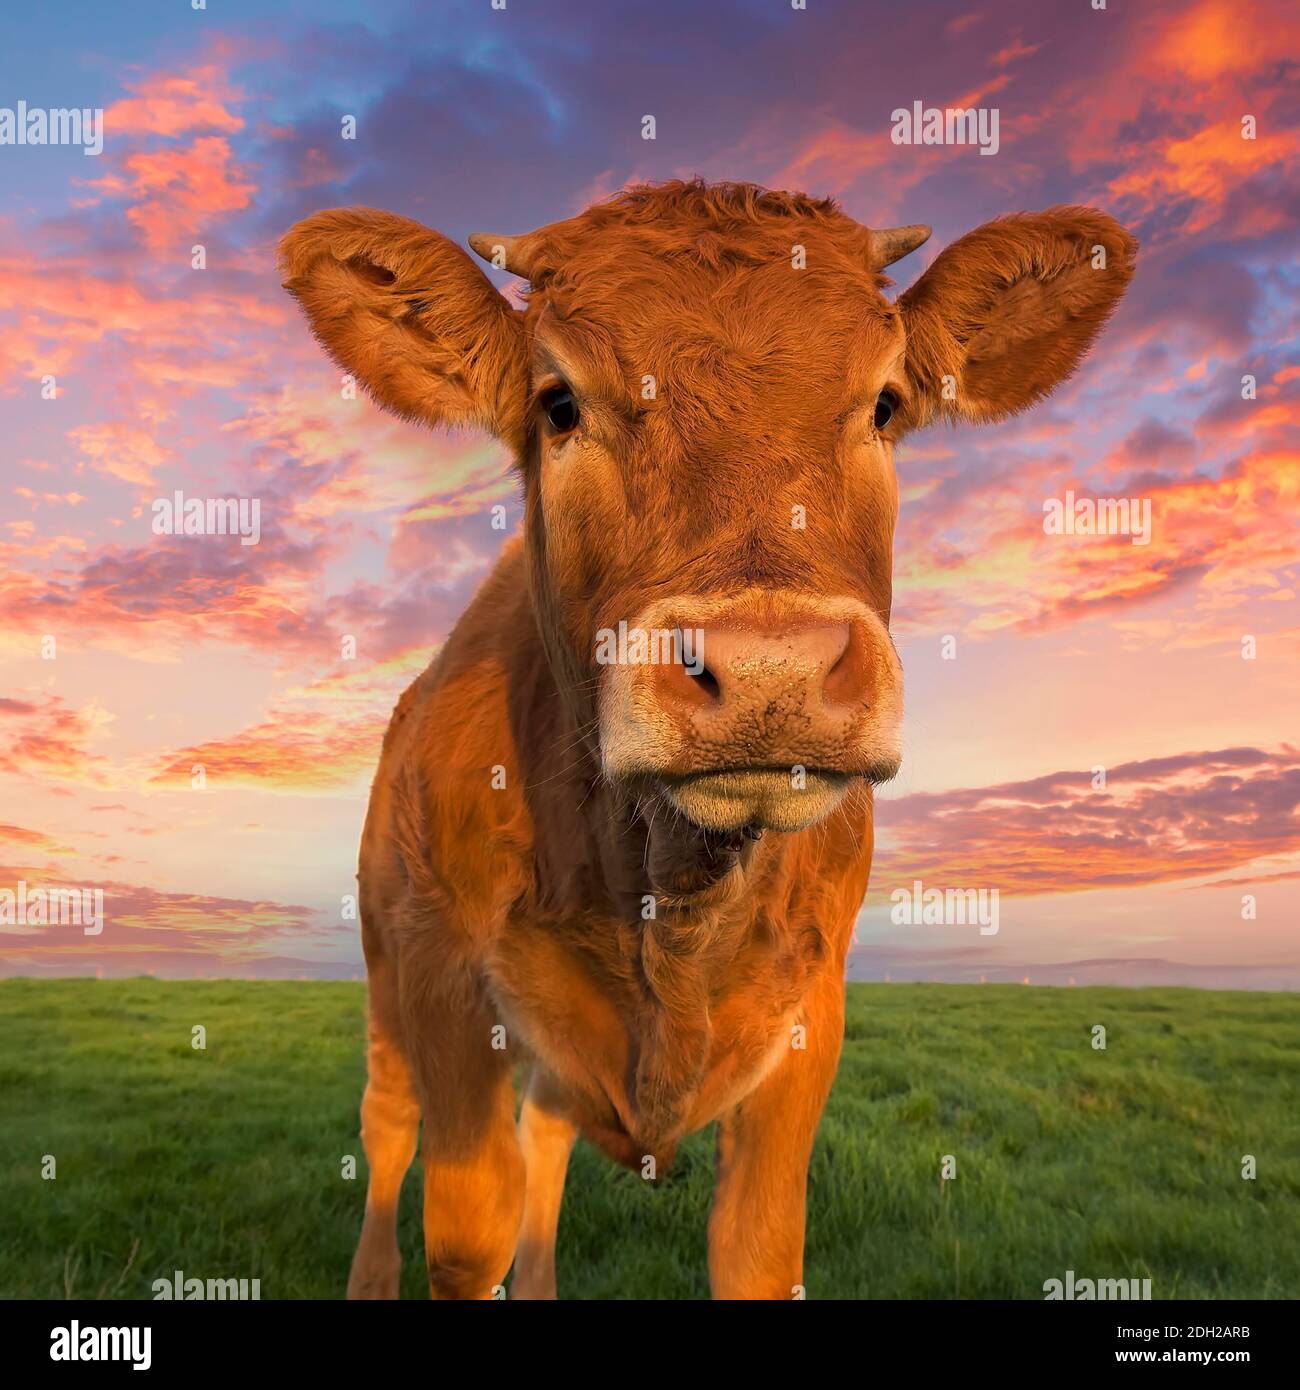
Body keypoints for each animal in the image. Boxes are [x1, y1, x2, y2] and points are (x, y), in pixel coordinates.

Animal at [279, 180, 1135, 1300]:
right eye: (560, 403)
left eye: (884, 404)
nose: (770, 667)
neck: (670, 893)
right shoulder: (445, 984)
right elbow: (465, 1233)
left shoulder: (809, 1023)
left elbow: (753, 1244)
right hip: (386, 966)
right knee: (387, 1131)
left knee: (545, 1144)